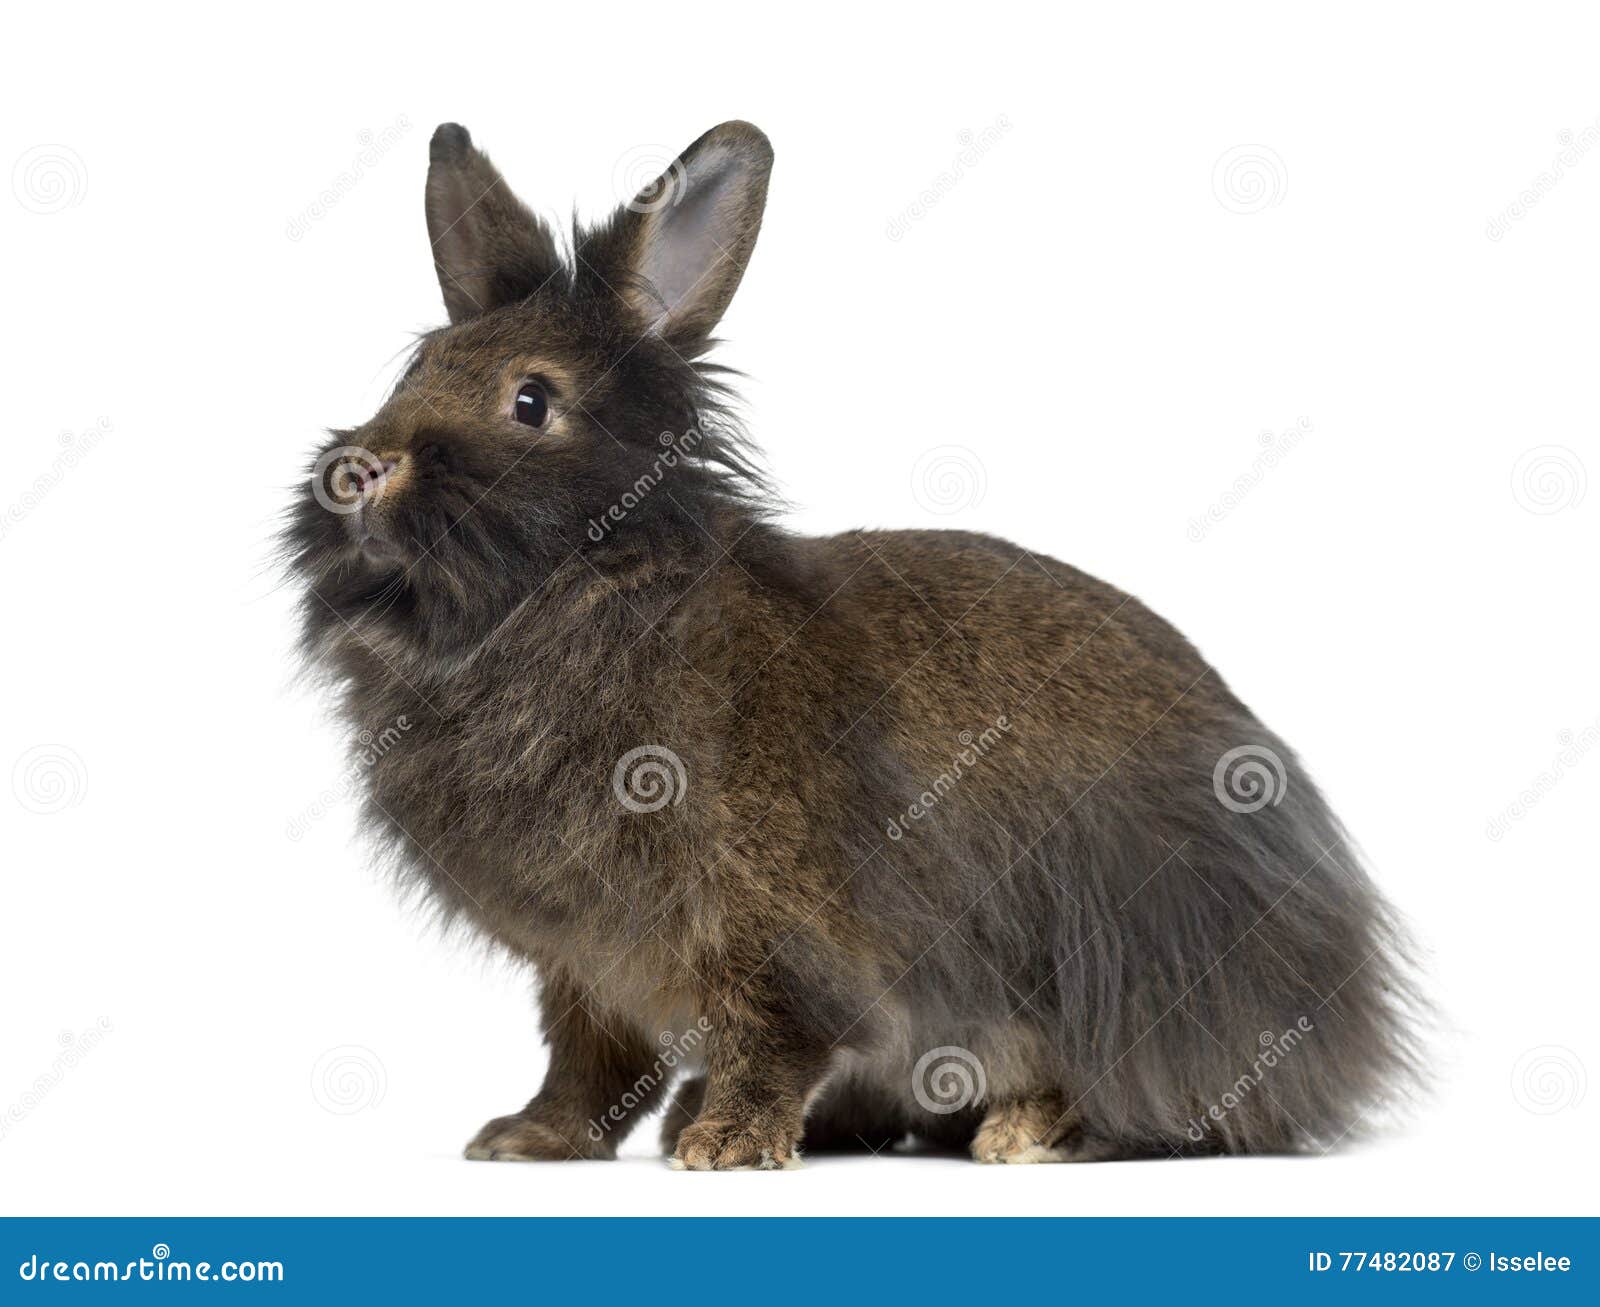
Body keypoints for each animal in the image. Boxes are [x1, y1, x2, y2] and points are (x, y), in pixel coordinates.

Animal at [283, 120, 1420, 1170]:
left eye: (531, 399)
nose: (358, 470)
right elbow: (589, 1062)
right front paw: (528, 1139)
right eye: (417, 368)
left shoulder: (772, 932)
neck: (587, 593)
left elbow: (777, 1032)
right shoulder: (583, 964)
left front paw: (730, 1144)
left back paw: (1020, 1131)